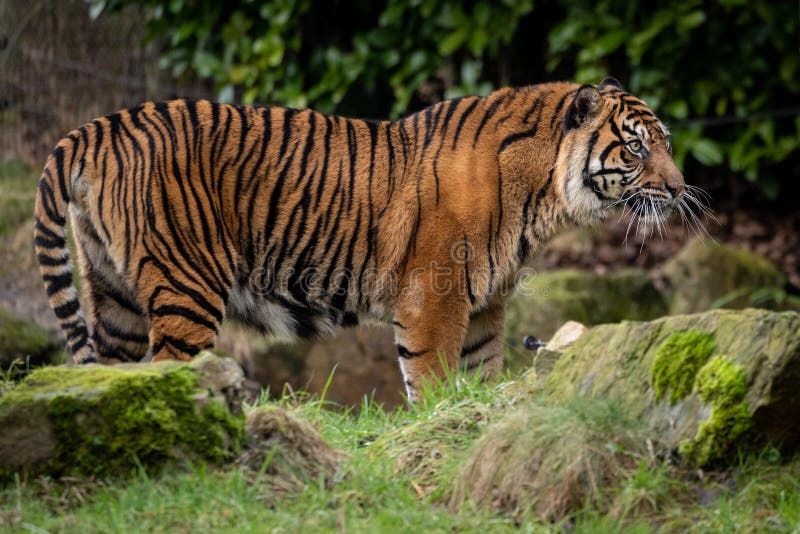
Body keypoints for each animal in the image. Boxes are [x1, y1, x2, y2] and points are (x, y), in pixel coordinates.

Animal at [34, 77, 685, 400]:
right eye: (636, 148)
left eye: (666, 143)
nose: (681, 189)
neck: (543, 195)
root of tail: (98, 126)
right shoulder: (434, 299)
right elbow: (433, 378)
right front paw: (438, 423)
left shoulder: (485, 307)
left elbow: (481, 371)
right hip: (186, 287)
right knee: (170, 369)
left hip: (114, 295)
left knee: (110, 373)